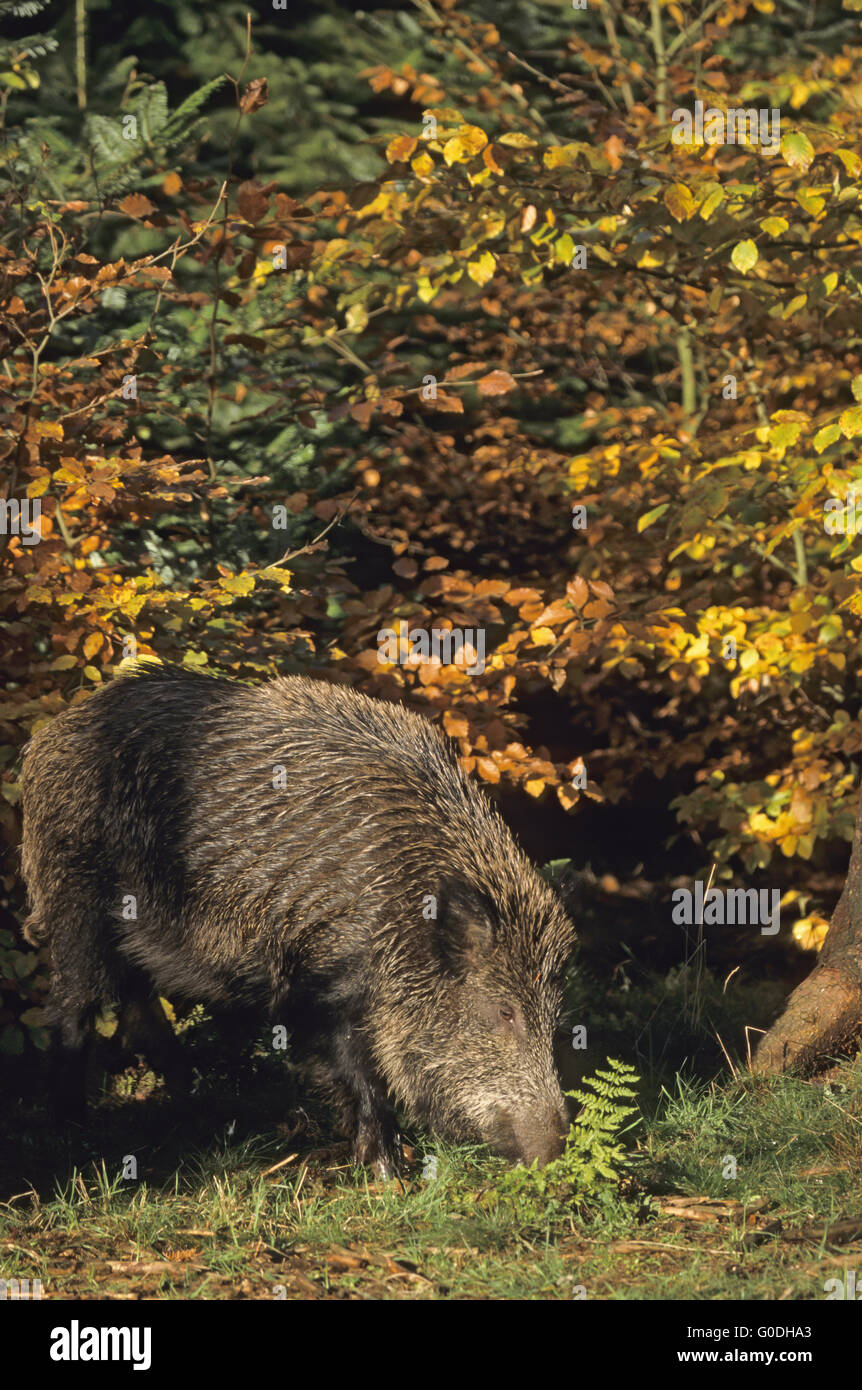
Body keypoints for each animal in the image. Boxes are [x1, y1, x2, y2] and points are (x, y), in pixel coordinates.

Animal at [21, 665, 576, 1174]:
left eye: (554, 1018)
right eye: (504, 1012)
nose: (554, 1153)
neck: (401, 914)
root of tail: (48, 740)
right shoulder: (317, 982)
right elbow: (358, 1075)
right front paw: (388, 1176)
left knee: (140, 1012)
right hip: (76, 906)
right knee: (71, 1008)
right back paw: (73, 1132)